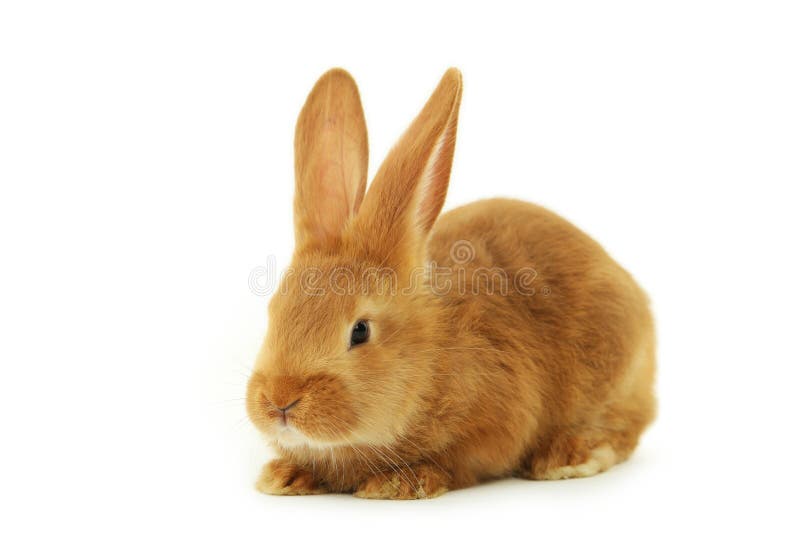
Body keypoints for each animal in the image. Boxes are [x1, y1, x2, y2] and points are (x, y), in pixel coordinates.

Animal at [246, 67, 656, 499]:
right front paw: (284, 476)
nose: (280, 400)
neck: (433, 356)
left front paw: (397, 483)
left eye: (360, 331)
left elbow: (457, 461)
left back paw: (567, 457)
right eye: (273, 313)